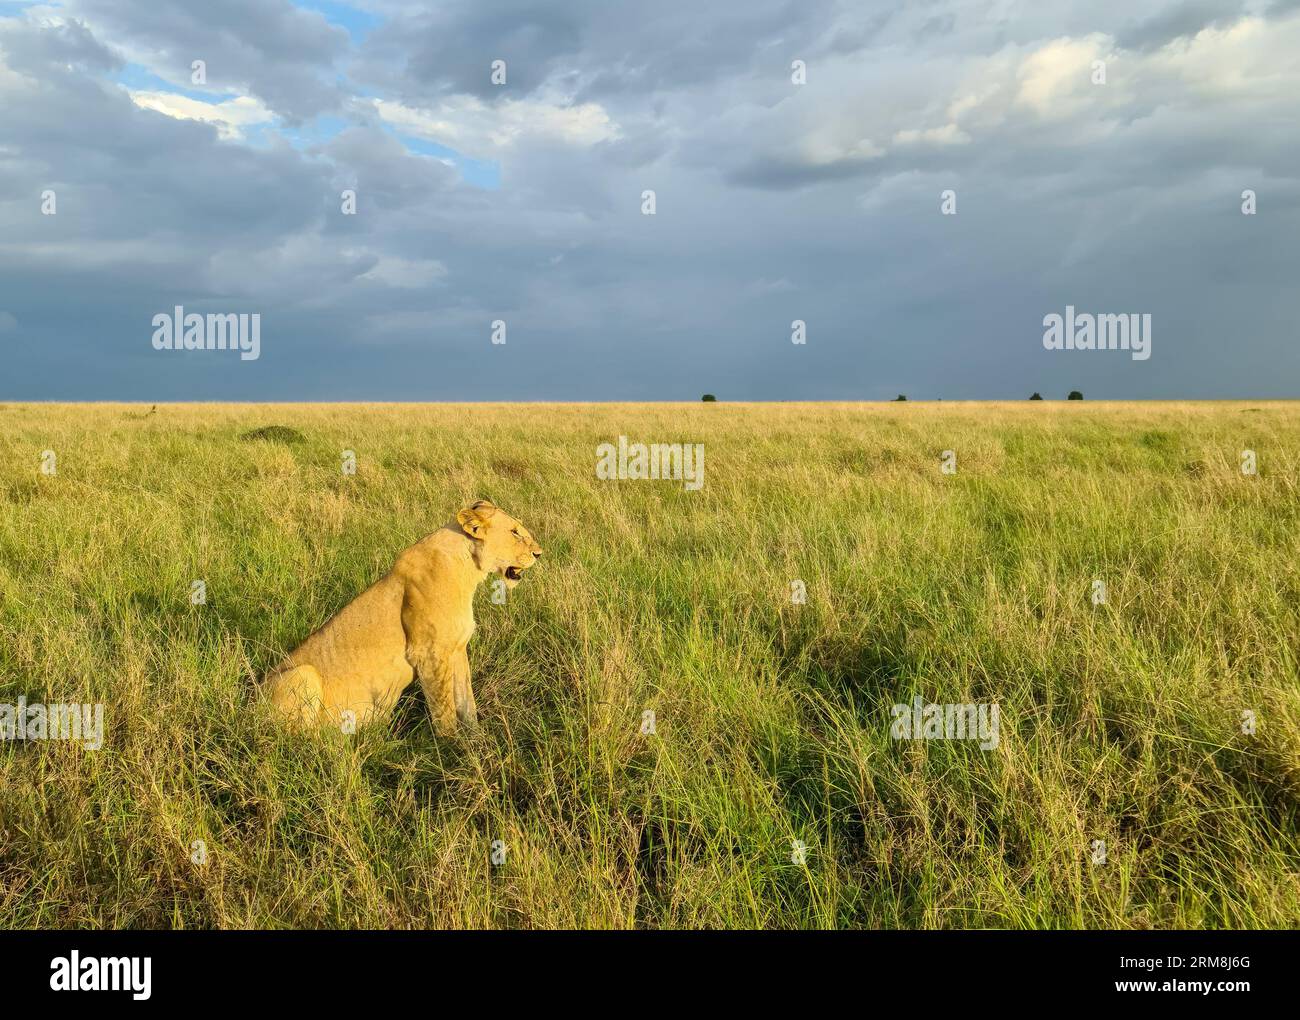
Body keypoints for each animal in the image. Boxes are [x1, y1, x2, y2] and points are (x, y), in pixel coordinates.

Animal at [263, 499, 541, 733]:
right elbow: (445, 712)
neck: (469, 569)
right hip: (302, 674)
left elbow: (466, 702)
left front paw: (476, 740)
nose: (539, 554)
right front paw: (452, 752)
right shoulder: (429, 653)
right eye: (515, 532)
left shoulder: (457, 649)